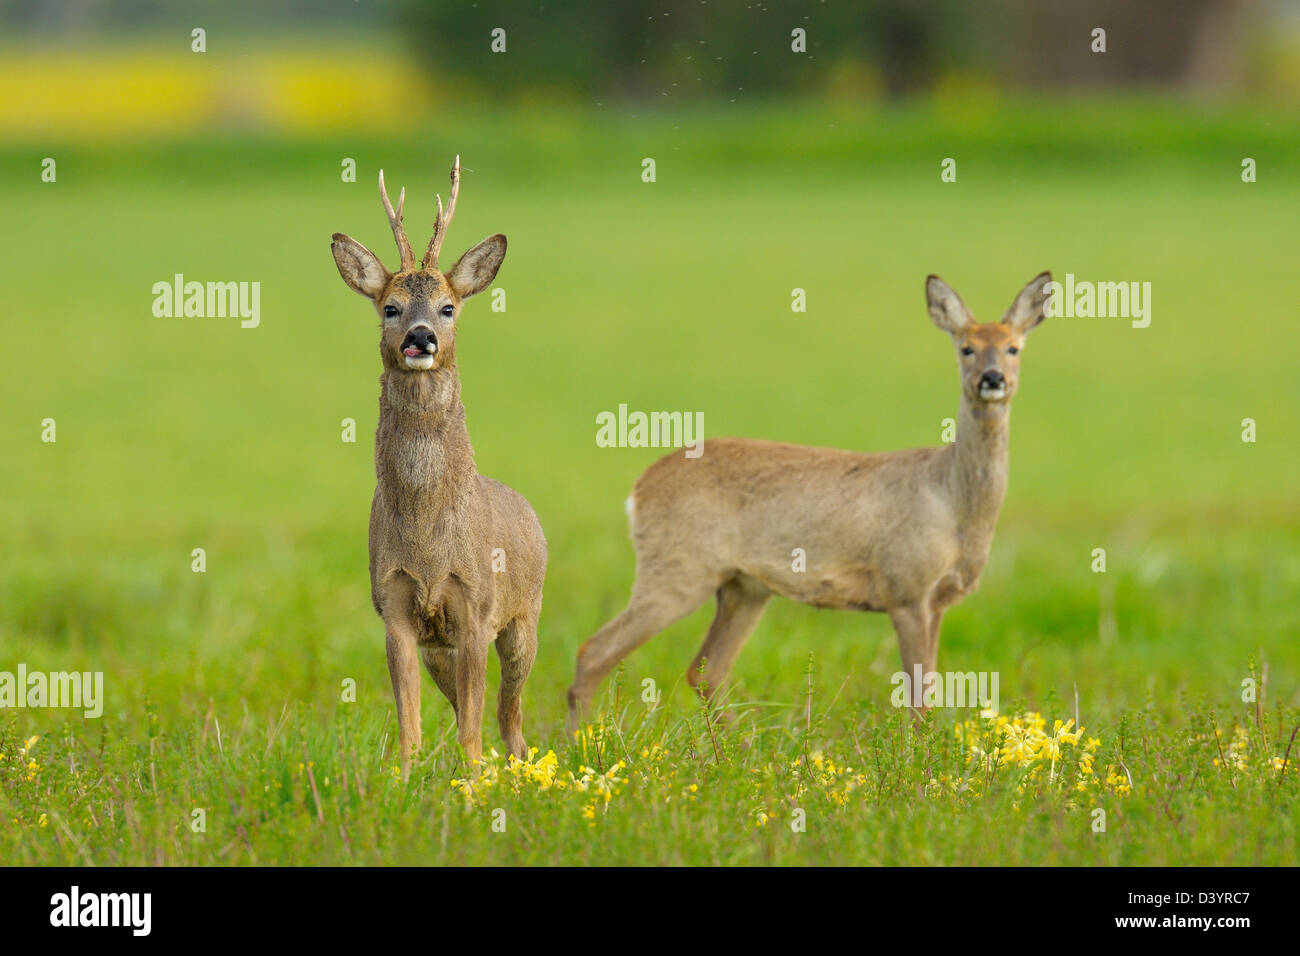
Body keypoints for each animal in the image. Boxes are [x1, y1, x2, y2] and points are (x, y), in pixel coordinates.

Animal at [331, 157, 546, 778]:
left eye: (449, 307)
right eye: (390, 307)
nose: (420, 337)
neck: (427, 543)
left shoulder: (475, 606)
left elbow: (473, 729)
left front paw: (473, 786)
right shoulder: (396, 610)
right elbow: (411, 726)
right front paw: (404, 782)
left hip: (524, 621)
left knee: (509, 717)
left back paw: (519, 772)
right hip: (440, 650)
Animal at [567, 272, 1051, 730]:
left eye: (1013, 347)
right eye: (966, 348)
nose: (993, 379)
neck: (951, 504)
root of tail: (637, 490)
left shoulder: (937, 602)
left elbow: (928, 693)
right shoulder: (906, 589)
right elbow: (917, 699)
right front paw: (920, 761)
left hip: (743, 587)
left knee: (704, 671)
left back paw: (744, 750)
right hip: (677, 569)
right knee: (594, 651)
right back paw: (580, 746)